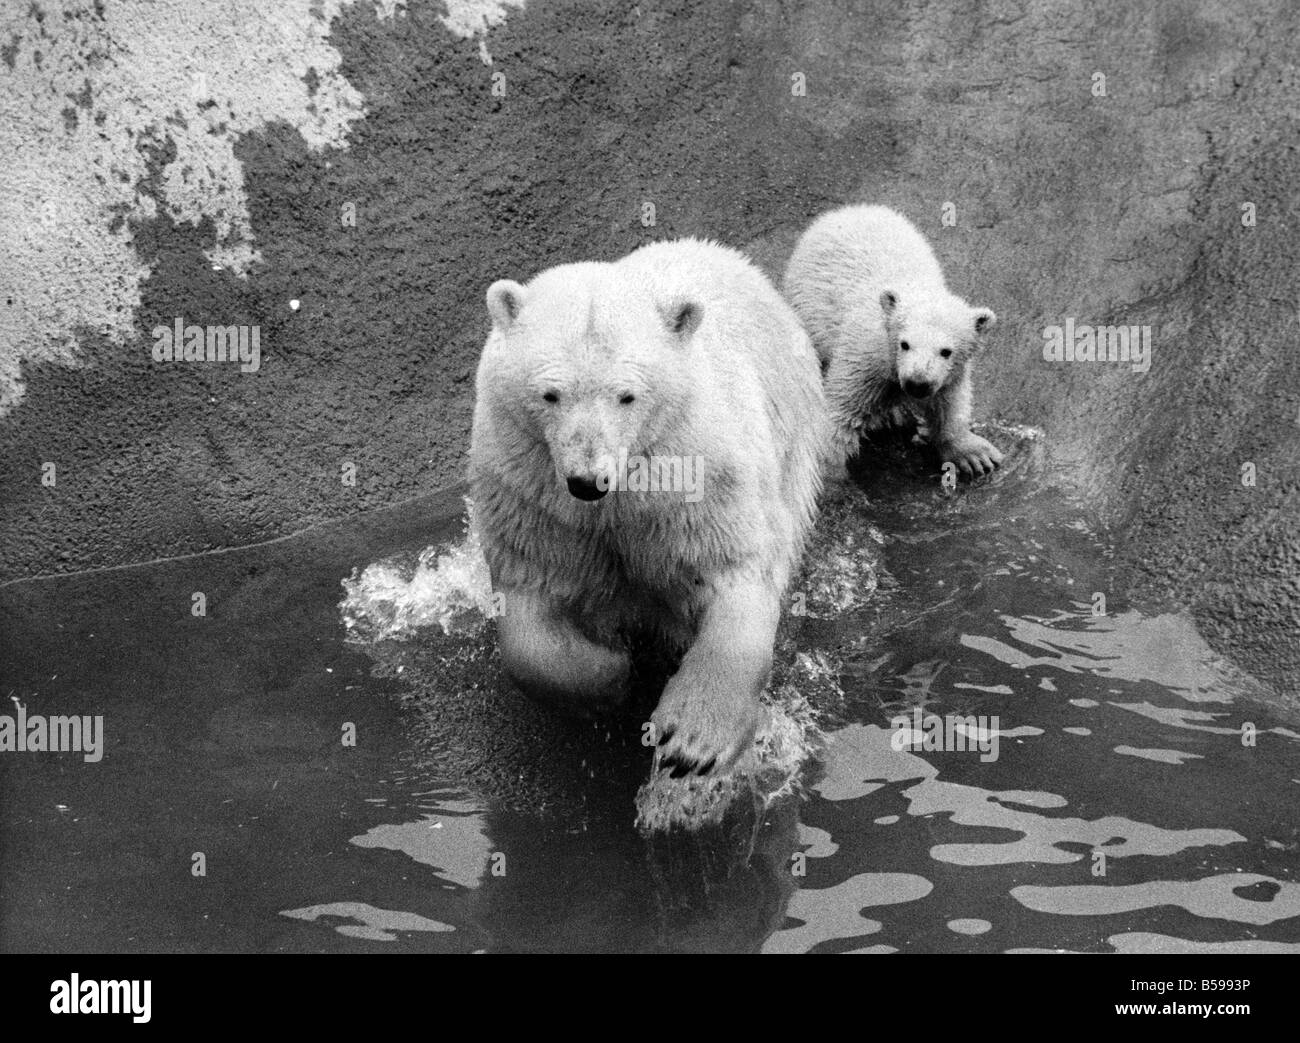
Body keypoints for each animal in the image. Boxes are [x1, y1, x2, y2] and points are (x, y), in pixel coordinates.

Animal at [468, 238, 829, 778]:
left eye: (627, 396)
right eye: (550, 394)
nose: (587, 481)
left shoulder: (699, 474)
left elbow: (733, 573)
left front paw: (693, 742)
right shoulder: (532, 493)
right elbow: (531, 603)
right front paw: (609, 678)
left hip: (793, 428)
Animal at [782, 204, 1001, 476]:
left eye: (946, 351)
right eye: (904, 344)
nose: (918, 383)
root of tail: (851, 210)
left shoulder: (950, 374)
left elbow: (948, 405)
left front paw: (974, 455)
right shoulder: (865, 358)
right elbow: (840, 412)